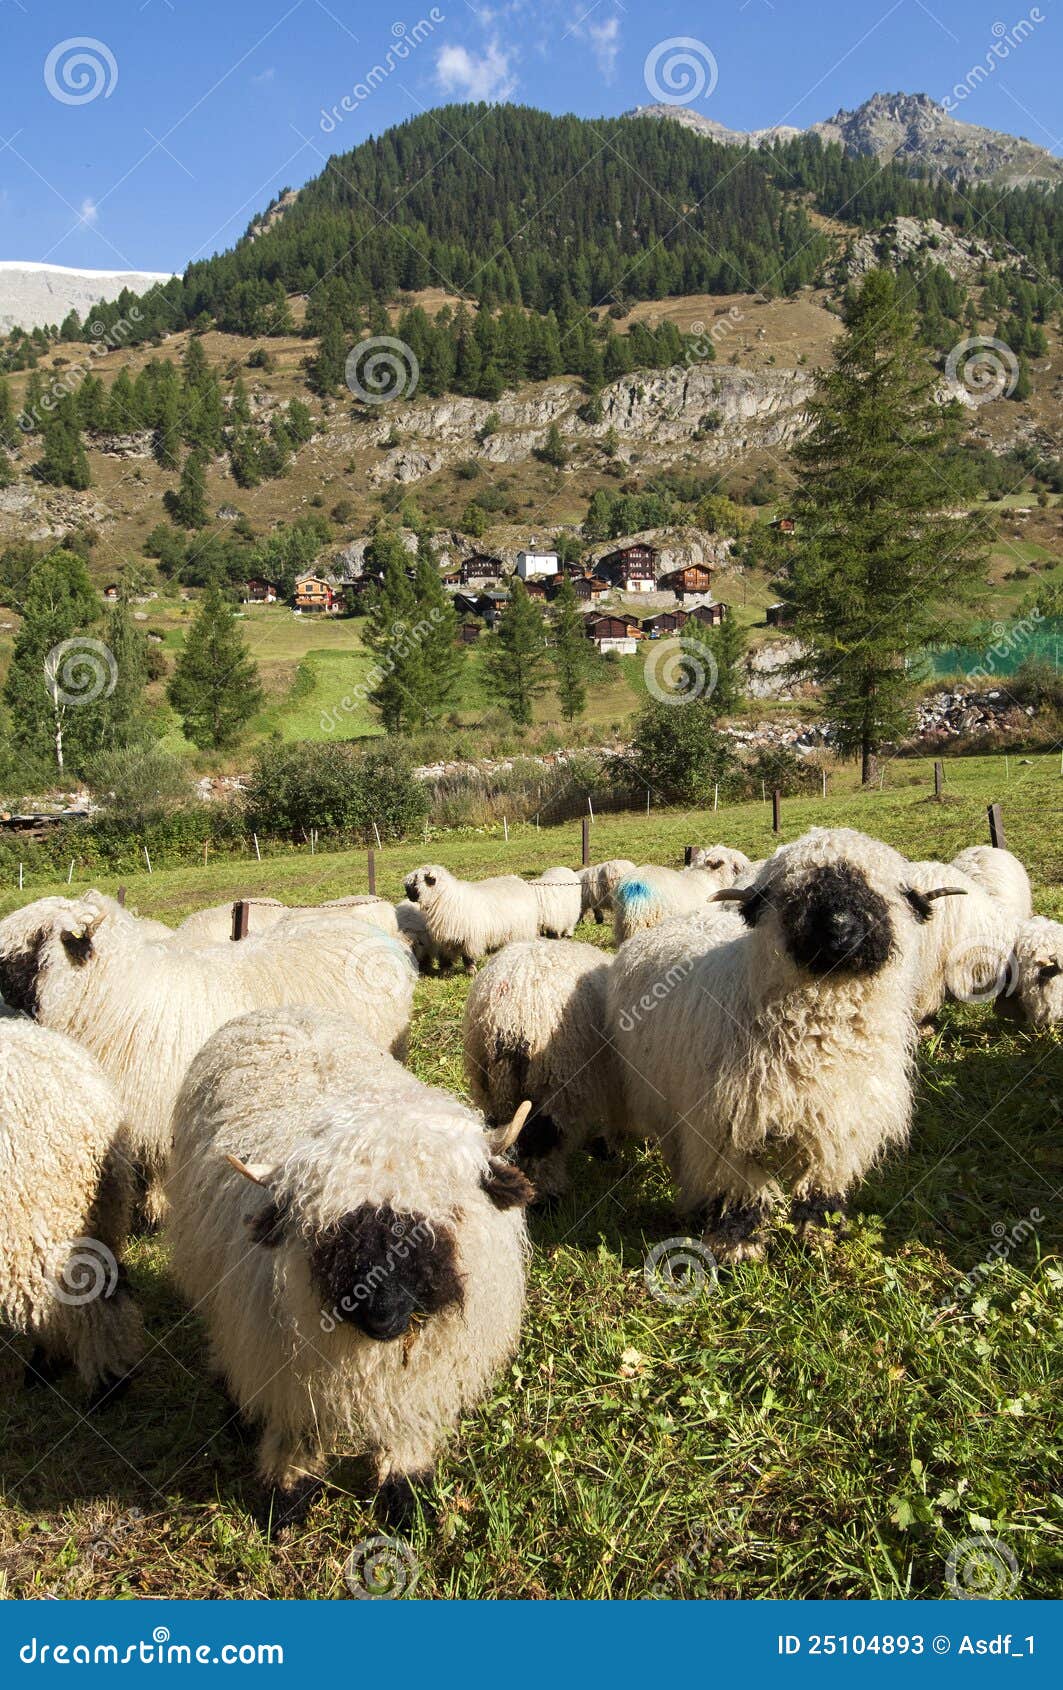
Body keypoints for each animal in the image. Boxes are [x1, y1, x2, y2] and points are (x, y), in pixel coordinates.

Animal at [165, 1005, 534, 1530]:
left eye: (447, 1217)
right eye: (328, 1233)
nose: (381, 1314)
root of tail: (282, 1009)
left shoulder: (420, 1374)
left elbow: (407, 1426)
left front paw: (405, 1490)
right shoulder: (284, 1368)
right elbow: (294, 1432)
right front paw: (286, 1495)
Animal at [403, 865, 538, 971]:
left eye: (416, 882)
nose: (409, 896)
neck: (445, 898)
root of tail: (517, 879)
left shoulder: (470, 936)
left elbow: (467, 956)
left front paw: (471, 970)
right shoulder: (446, 937)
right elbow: (445, 955)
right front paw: (445, 969)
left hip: (521, 929)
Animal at [608, 828, 964, 1262]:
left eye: (876, 892)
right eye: (797, 894)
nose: (840, 930)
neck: (818, 1038)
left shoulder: (842, 1120)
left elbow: (822, 1181)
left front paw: (819, 1231)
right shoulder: (725, 1125)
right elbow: (736, 1187)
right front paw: (736, 1243)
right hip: (662, 1097)